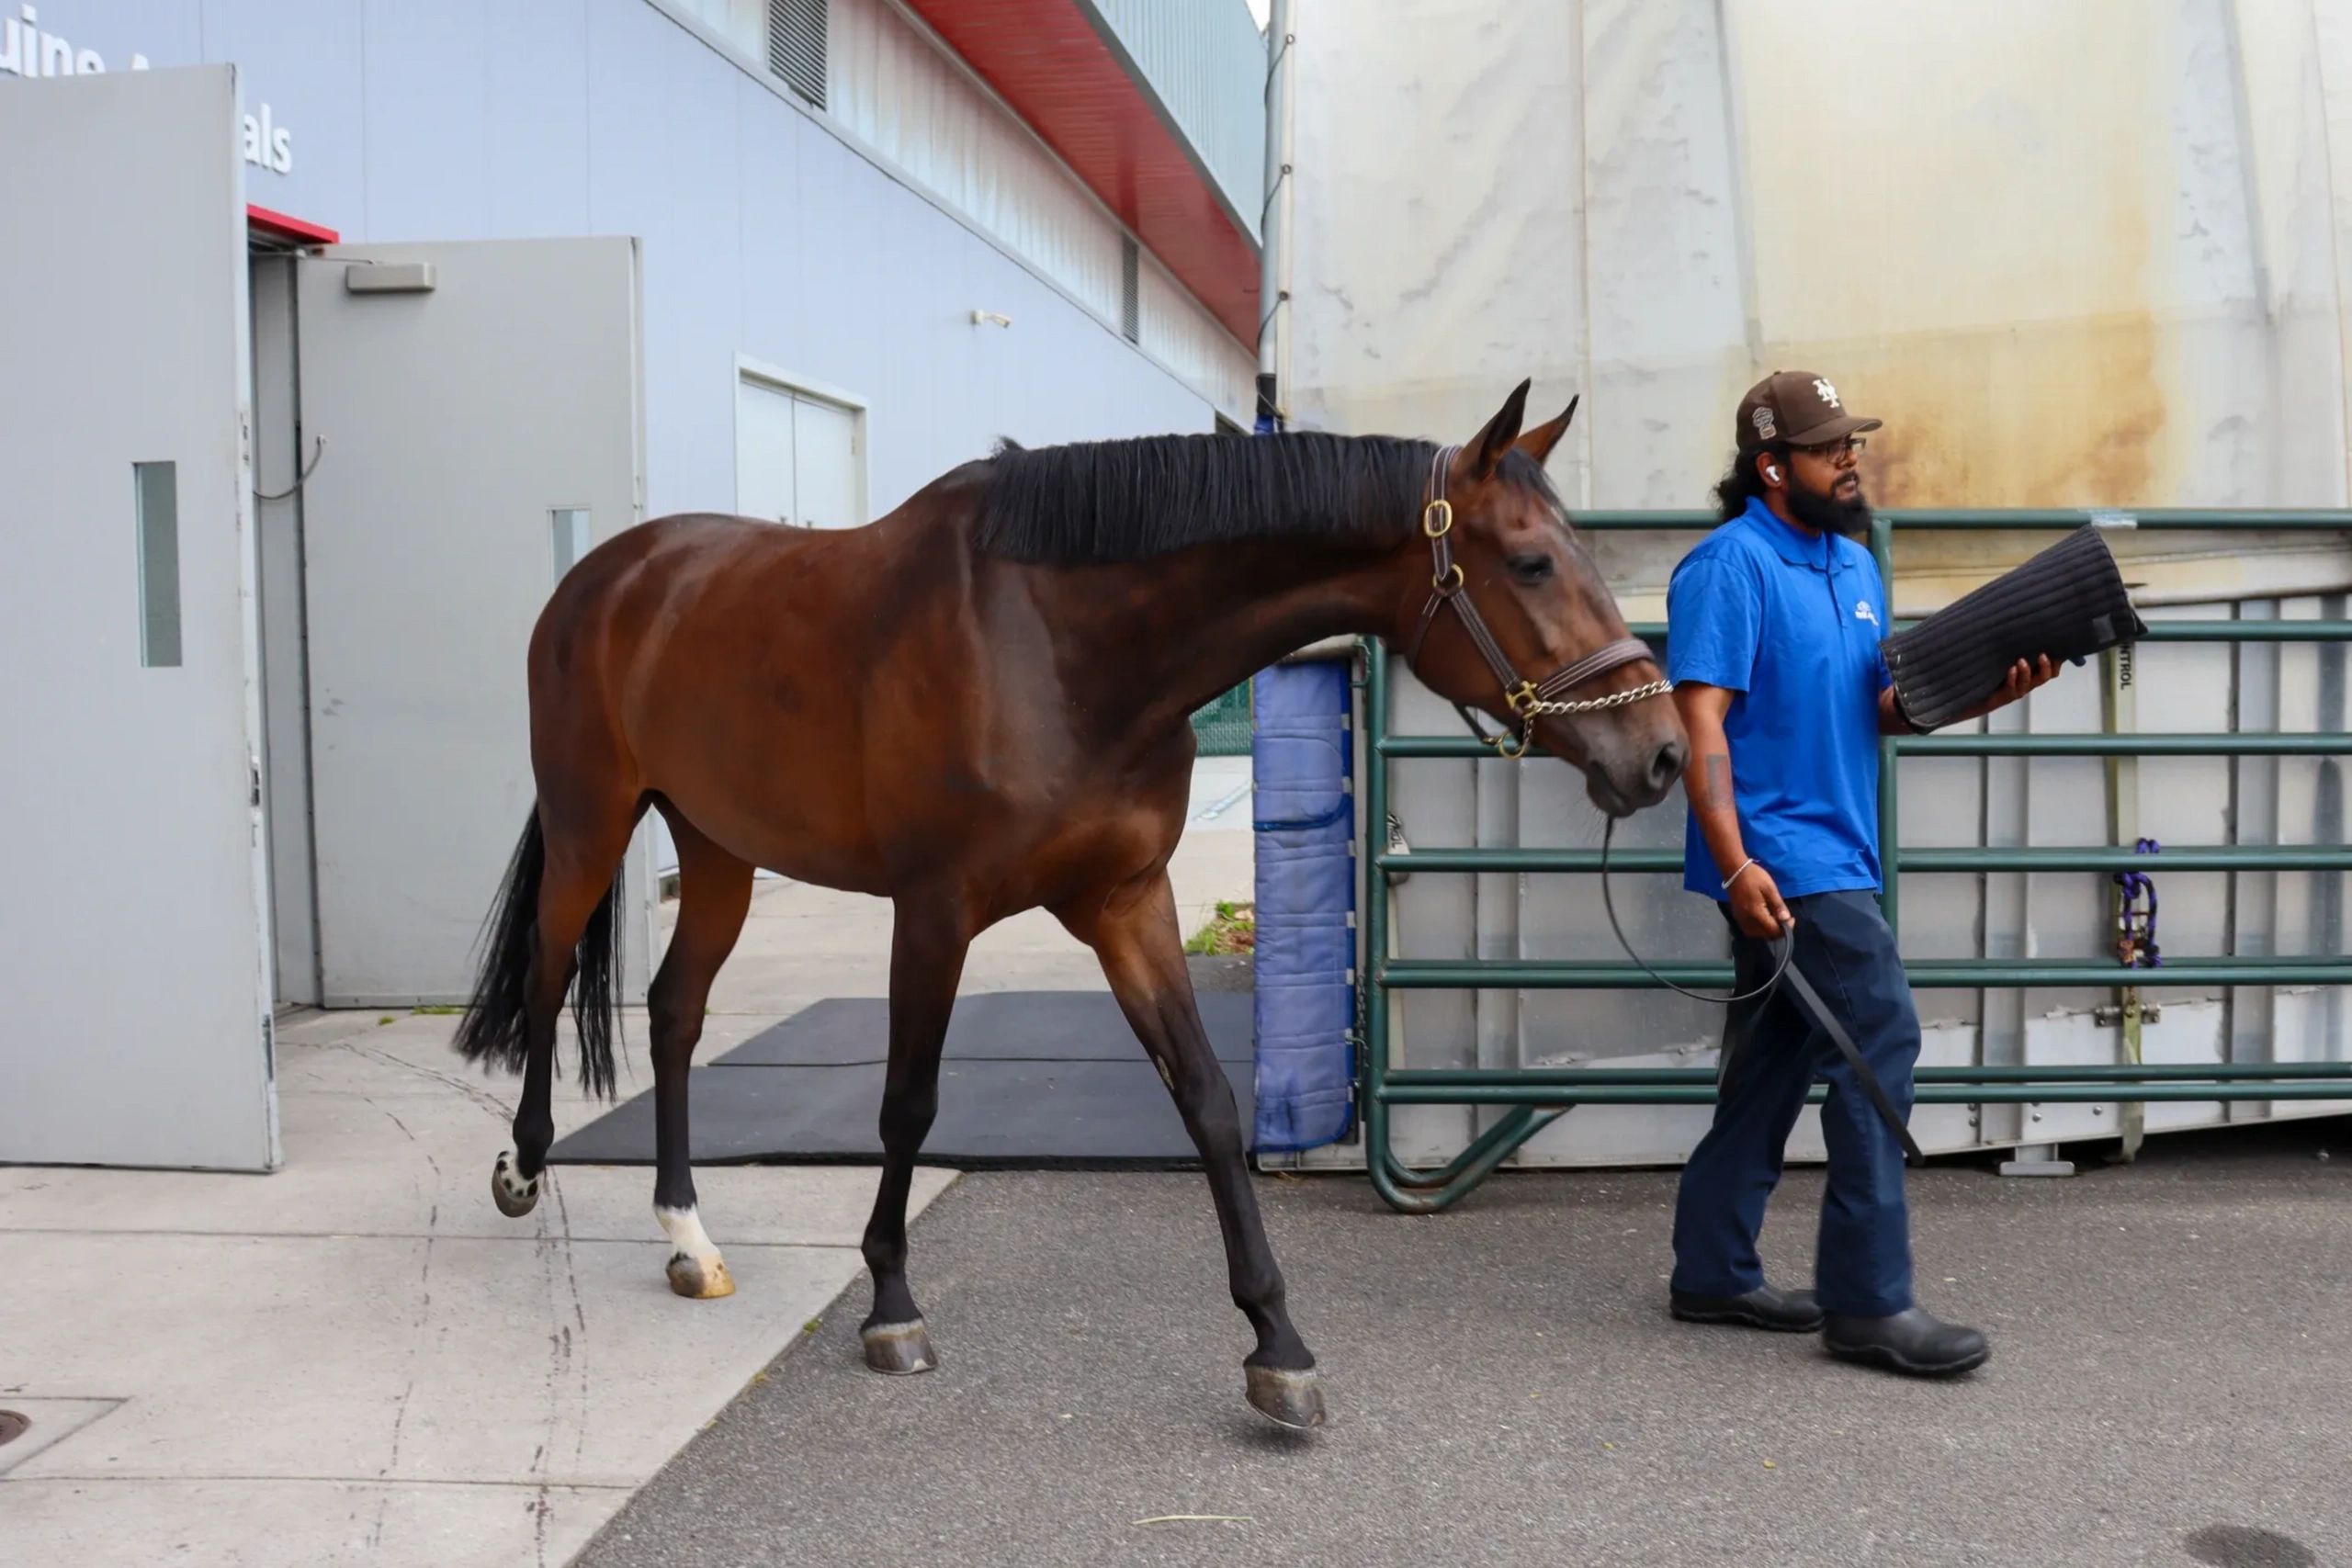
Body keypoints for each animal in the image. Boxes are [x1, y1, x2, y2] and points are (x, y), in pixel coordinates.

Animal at [452, 379, 1688, 1429]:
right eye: (1529, 563)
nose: (1662, 754)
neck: (1058, 644)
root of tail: (613, 574)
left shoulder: (1127, 901)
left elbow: (1207, 1103)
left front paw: (1277, 1347)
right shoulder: (933, 911)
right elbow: (907, 1105)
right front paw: (891, 1308)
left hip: (718, 848)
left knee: (673, 1011)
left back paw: (688, 1238)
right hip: (592, 825)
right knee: (550, 976)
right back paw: (524, 1169)